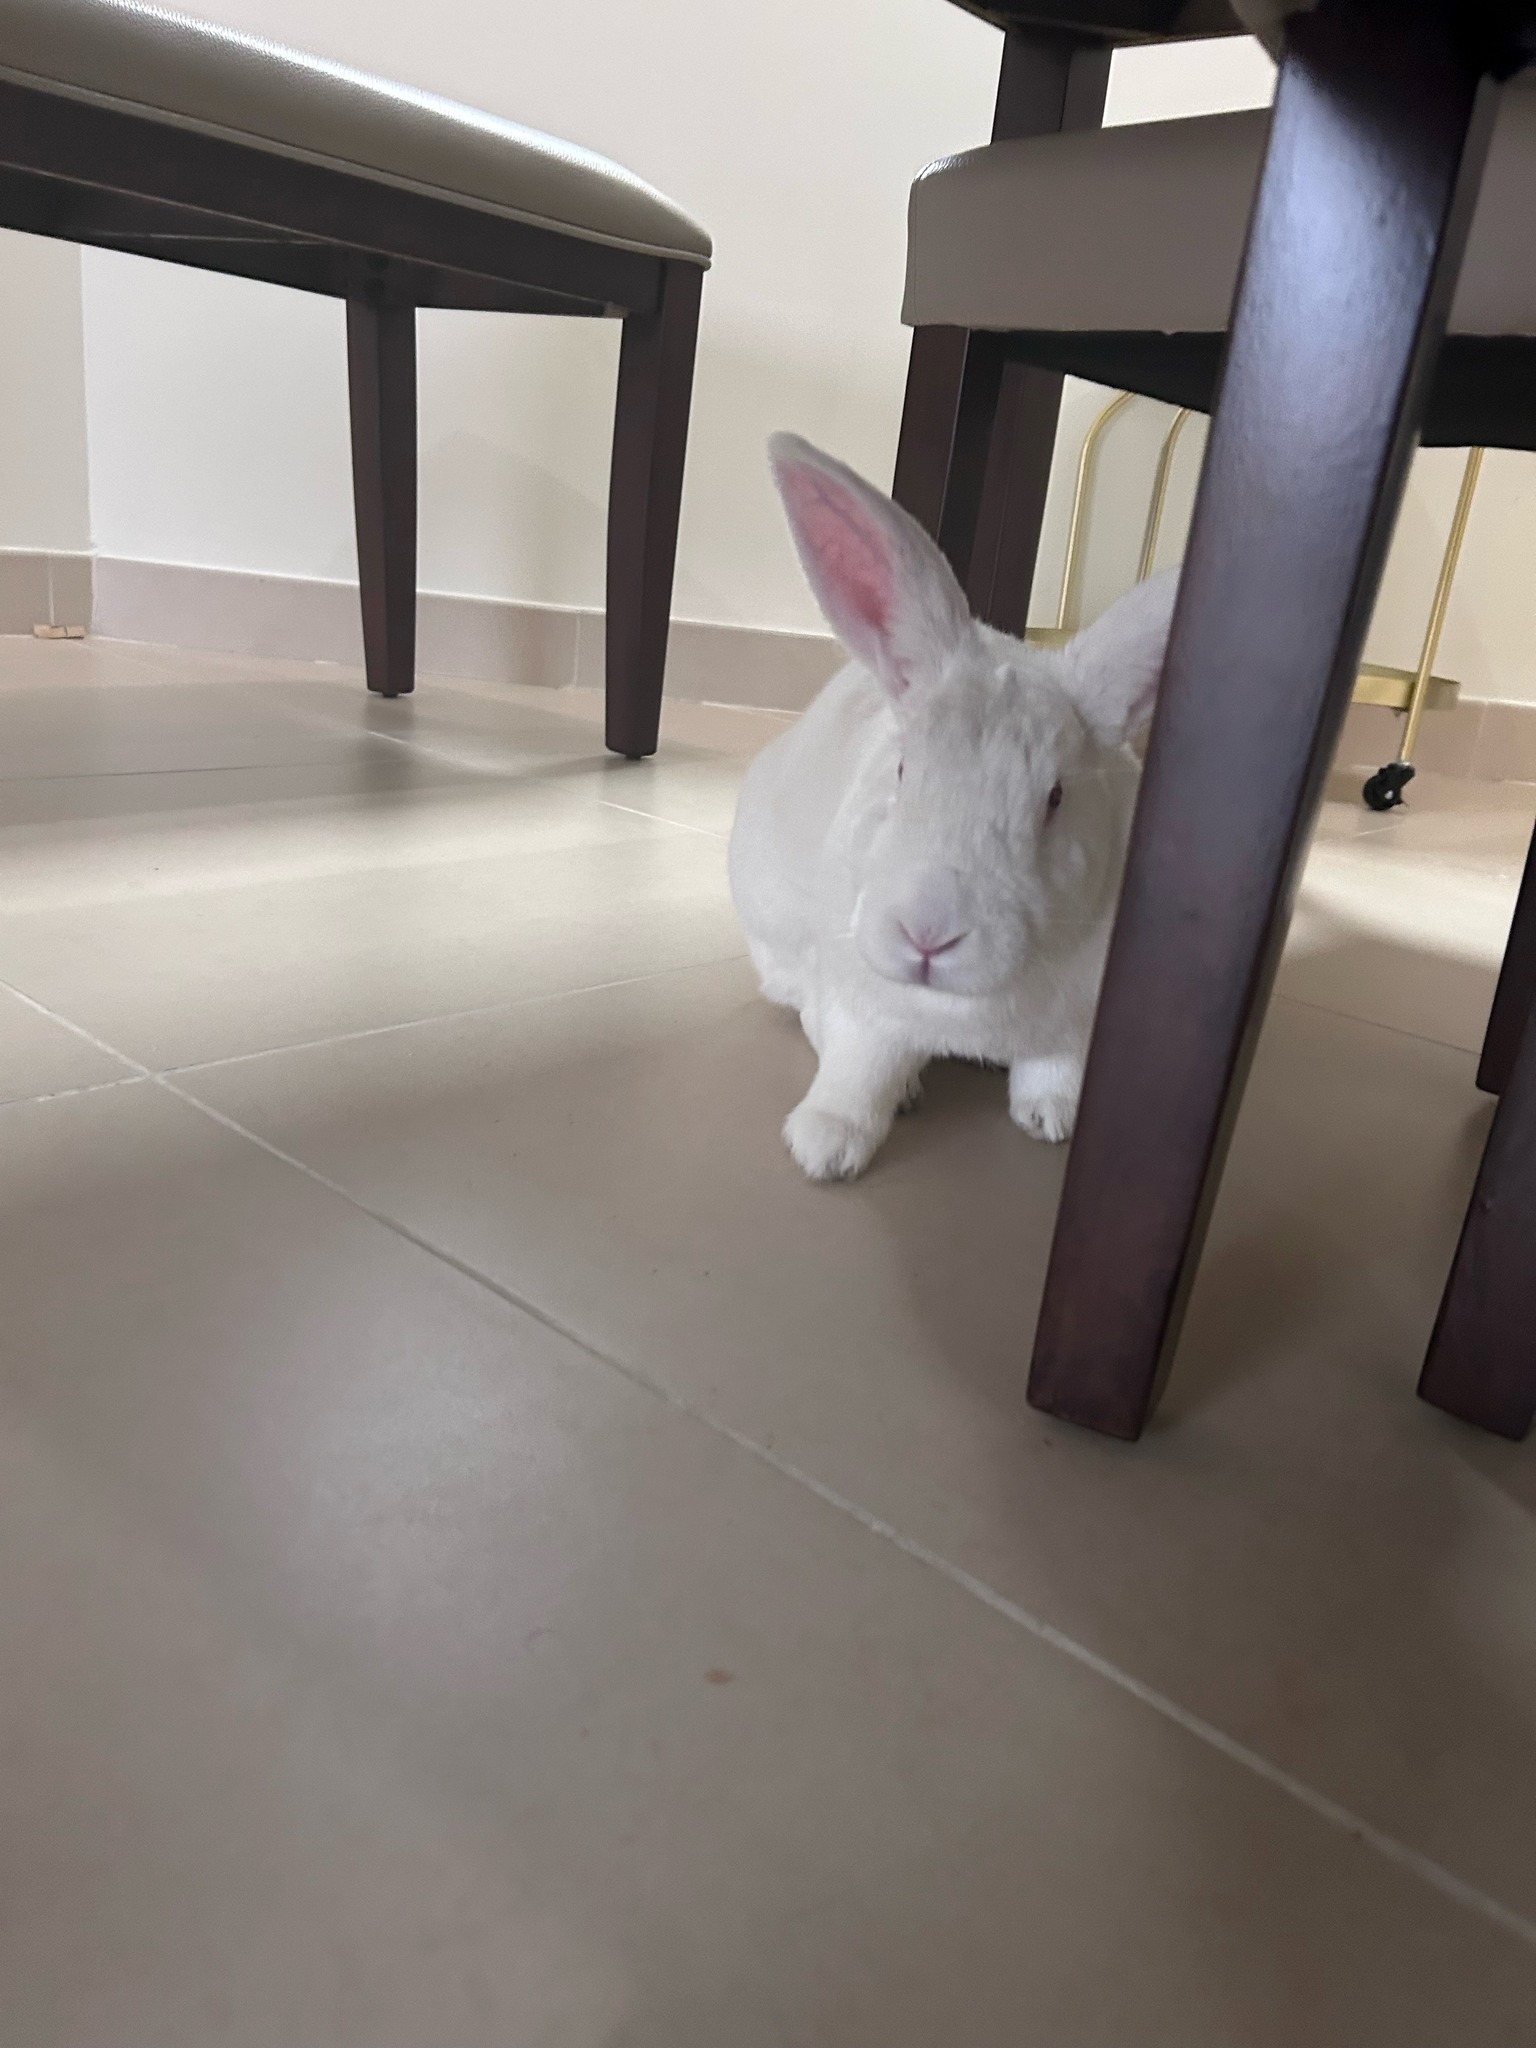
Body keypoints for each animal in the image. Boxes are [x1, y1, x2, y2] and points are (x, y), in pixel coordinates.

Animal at [728, 431, 1179, 1184]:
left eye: (1055, 797)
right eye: (904, 769)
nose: (928, 934)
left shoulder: (1080, 1019)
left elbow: (1054, 1065)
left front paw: (1052, 1120)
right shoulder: (863, 1007)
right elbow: (858, 1070)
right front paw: (826, 1148)